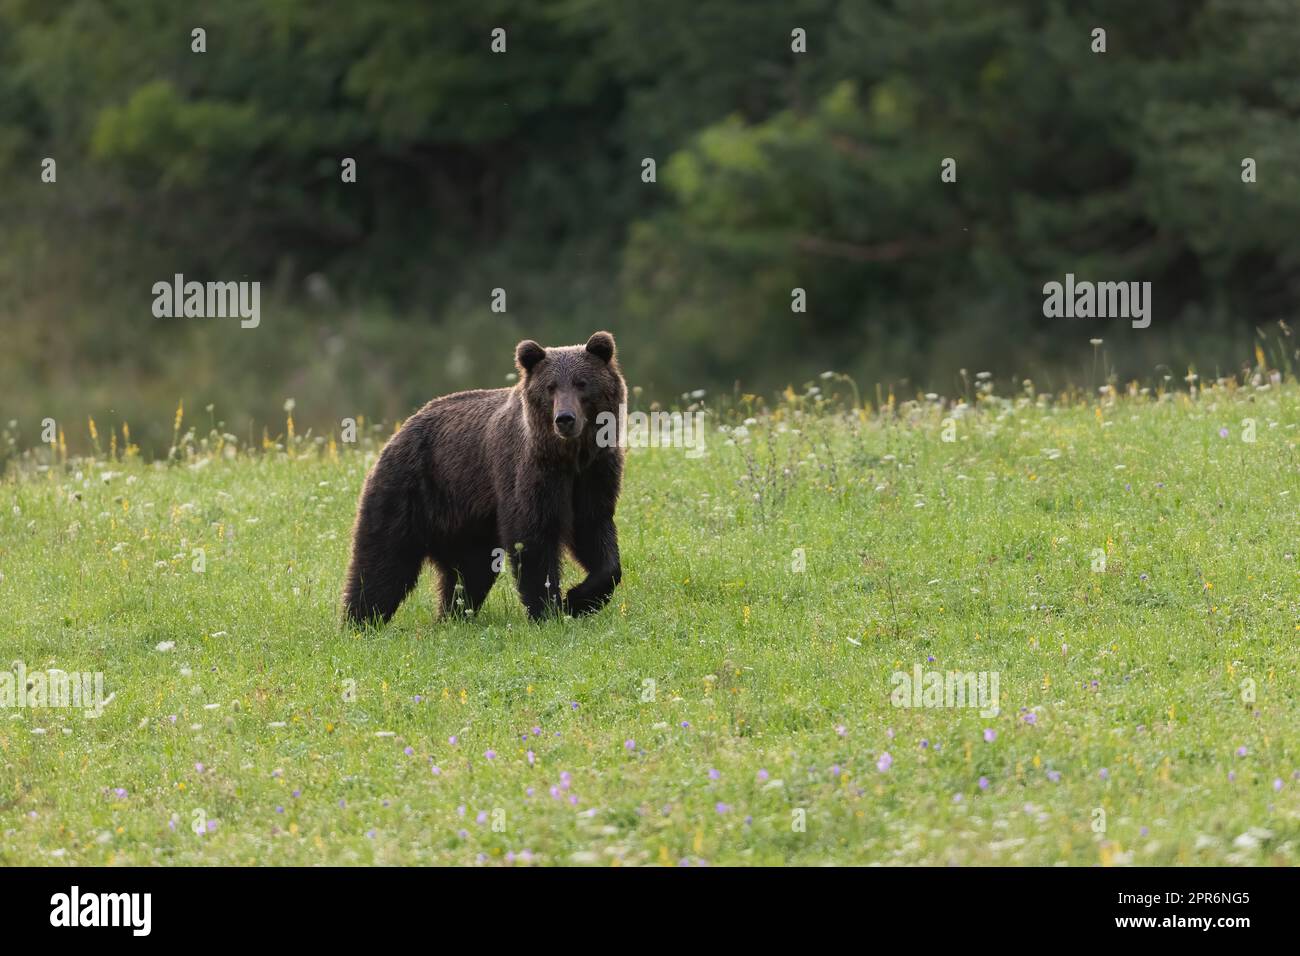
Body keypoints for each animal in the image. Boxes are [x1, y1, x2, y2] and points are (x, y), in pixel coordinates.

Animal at [341, 331, 625, 625]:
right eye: (550, 387)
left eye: (581, 384)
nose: (565, 418)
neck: (569, 457)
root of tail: (399, 432)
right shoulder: (528, 471)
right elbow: (531, 535)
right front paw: (549, 609)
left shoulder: (595, 472)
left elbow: (595, 530)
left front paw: (578, 598)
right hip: (408, 491)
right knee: (384, 561)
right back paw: (361, 621)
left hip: (466, 523)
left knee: (469, 573)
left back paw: (452, 616)